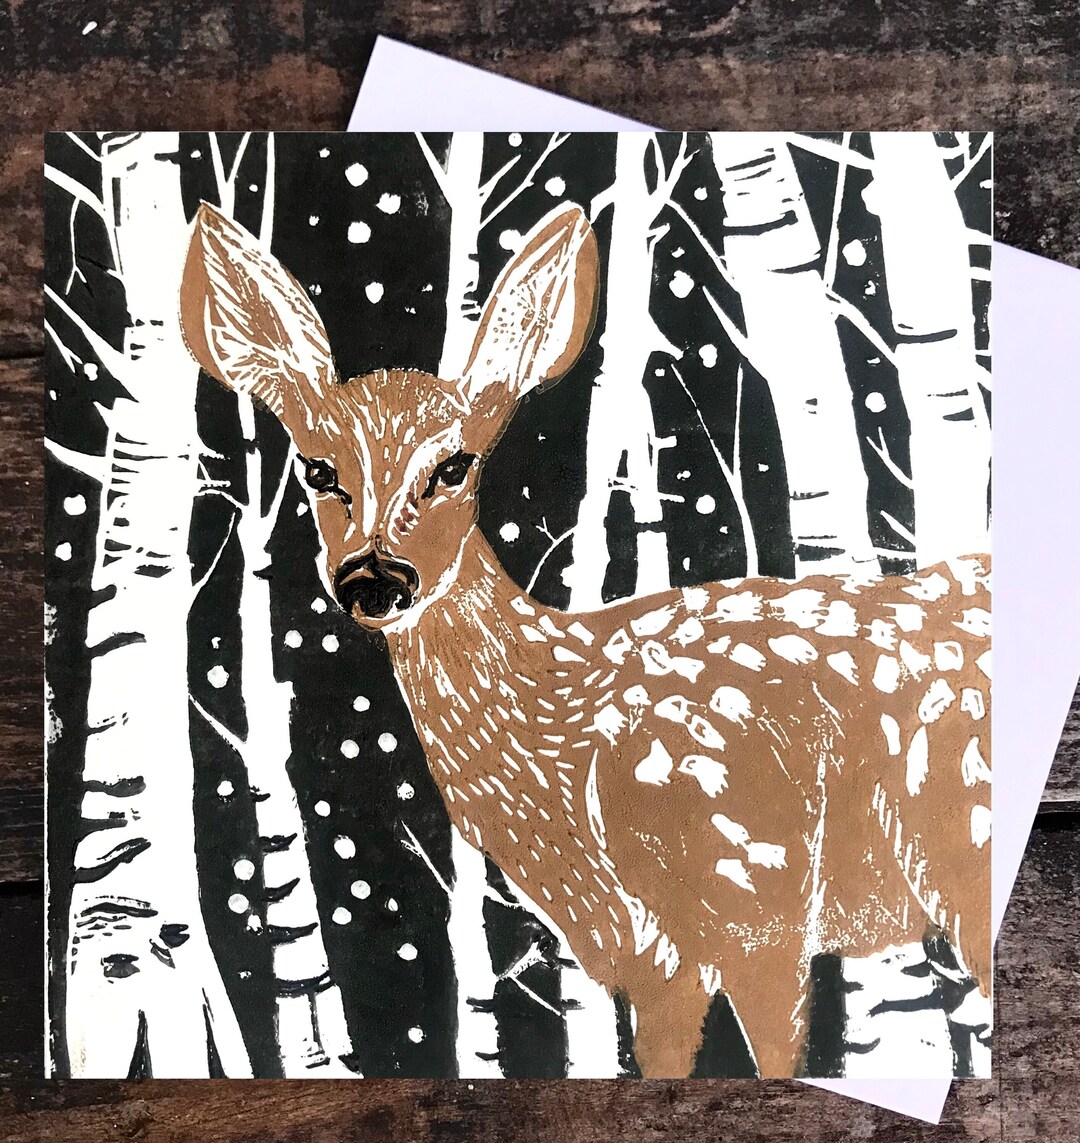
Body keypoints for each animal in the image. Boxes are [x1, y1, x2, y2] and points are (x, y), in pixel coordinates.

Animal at [179, 200, 991, 1078]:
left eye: (455, 466)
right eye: (320, 470)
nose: (375, 576)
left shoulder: (755, 891)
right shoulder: (658, 960)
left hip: (957, 843)